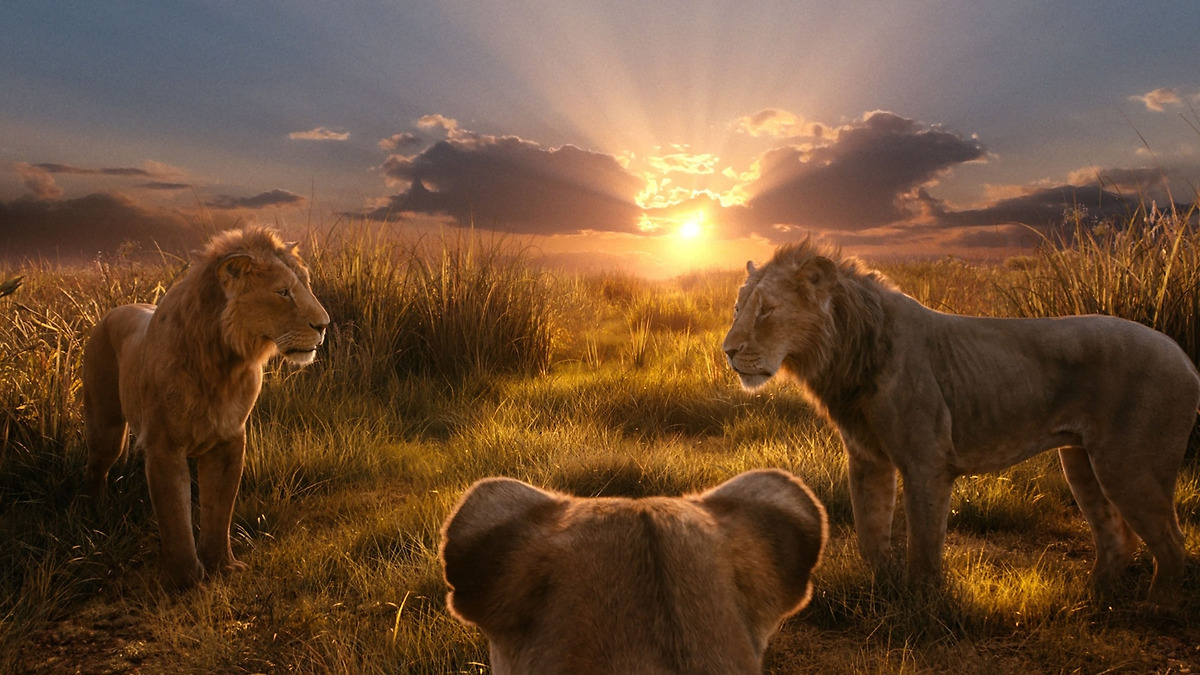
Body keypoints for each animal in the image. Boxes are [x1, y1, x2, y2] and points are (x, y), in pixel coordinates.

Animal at [82, 226, 329, 589]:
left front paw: (222, 565)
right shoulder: (164, 447)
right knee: (96, 469)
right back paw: (96, 517)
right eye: (283, 292)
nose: (324, 325)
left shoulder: (229, 441)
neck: (224, 362)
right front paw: (186, 578)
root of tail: (114, 310)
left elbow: (219, 509)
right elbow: (175, 516)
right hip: (106, 427)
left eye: (306, 285)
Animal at [722, 239, 1200, 606]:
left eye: (766, 310)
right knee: (1119, 539)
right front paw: (883, 591)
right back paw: (1089, 601)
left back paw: (1155, 610)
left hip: (1128, 466)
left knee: (1171, 542)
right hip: (1080, 460)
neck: (845, 351)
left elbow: (923, 545)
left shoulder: (927, 462)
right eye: (737, 307)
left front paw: (921, 605)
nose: (727, 351)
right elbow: (869, 534)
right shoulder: (867, 459)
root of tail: (1184, 356)